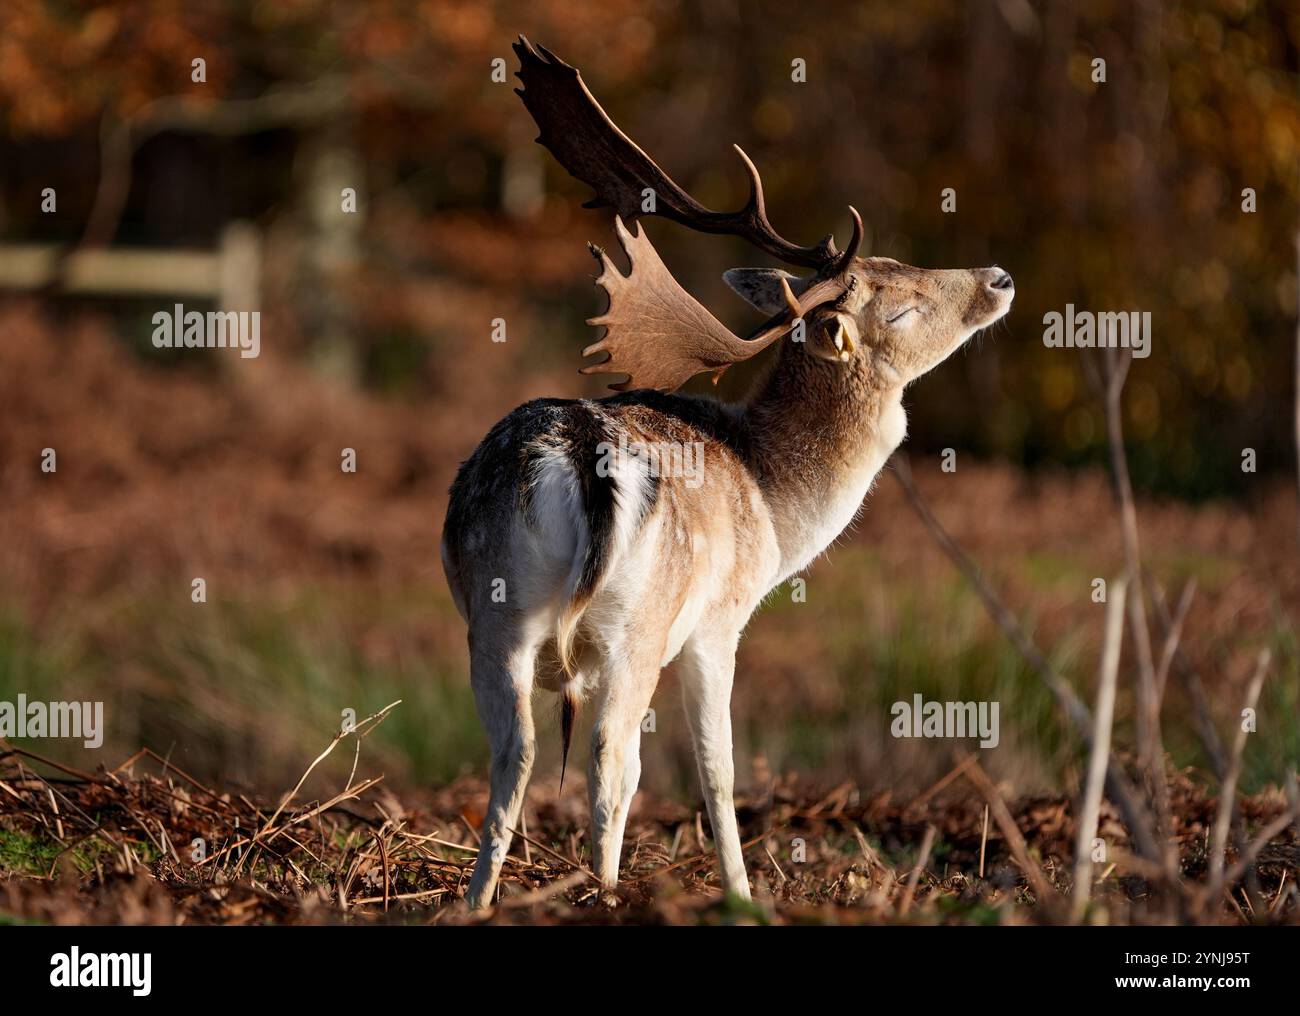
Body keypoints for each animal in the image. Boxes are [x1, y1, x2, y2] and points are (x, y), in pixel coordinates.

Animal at [441, 38, 1014, 909]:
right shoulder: (721, 620)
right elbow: (718, 769)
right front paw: (743, 895)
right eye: (902, 305)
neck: (776, 505)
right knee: (612, 757)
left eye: (905, 261)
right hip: (638, 623)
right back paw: (606, 892)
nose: (998, 278)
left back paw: (479, 901)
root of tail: (579, 451)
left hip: (495, 608)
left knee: (514, 753)